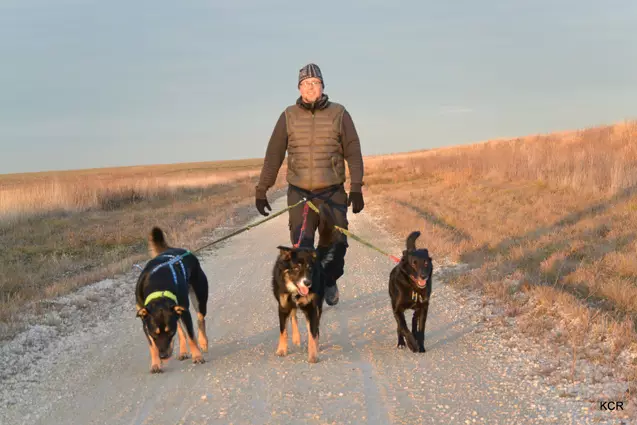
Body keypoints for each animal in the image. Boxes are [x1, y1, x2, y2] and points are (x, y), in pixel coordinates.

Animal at [134, 227, 209, 372]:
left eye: (170, 333)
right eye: (154, 334)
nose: (163, 356)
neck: (157, 285)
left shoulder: (185, 313)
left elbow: (191, 336)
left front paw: (197, 356)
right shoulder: (145, 322)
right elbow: (152, 346)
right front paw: (156, 364)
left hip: (200, 297)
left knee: (200, 319)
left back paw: (203, 343)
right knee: (181, 331)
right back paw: (183, 351)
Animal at [270, 202, 336, 362]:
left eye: (310, 269)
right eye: (296, 268)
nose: (307, 283)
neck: (295, 292)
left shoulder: (312, 307)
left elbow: (312, 332)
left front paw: (312, 354)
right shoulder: (282, 306)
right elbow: (283, 330)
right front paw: (281, 350)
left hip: (317, 304)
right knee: (293, 316)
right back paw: (296, 338)